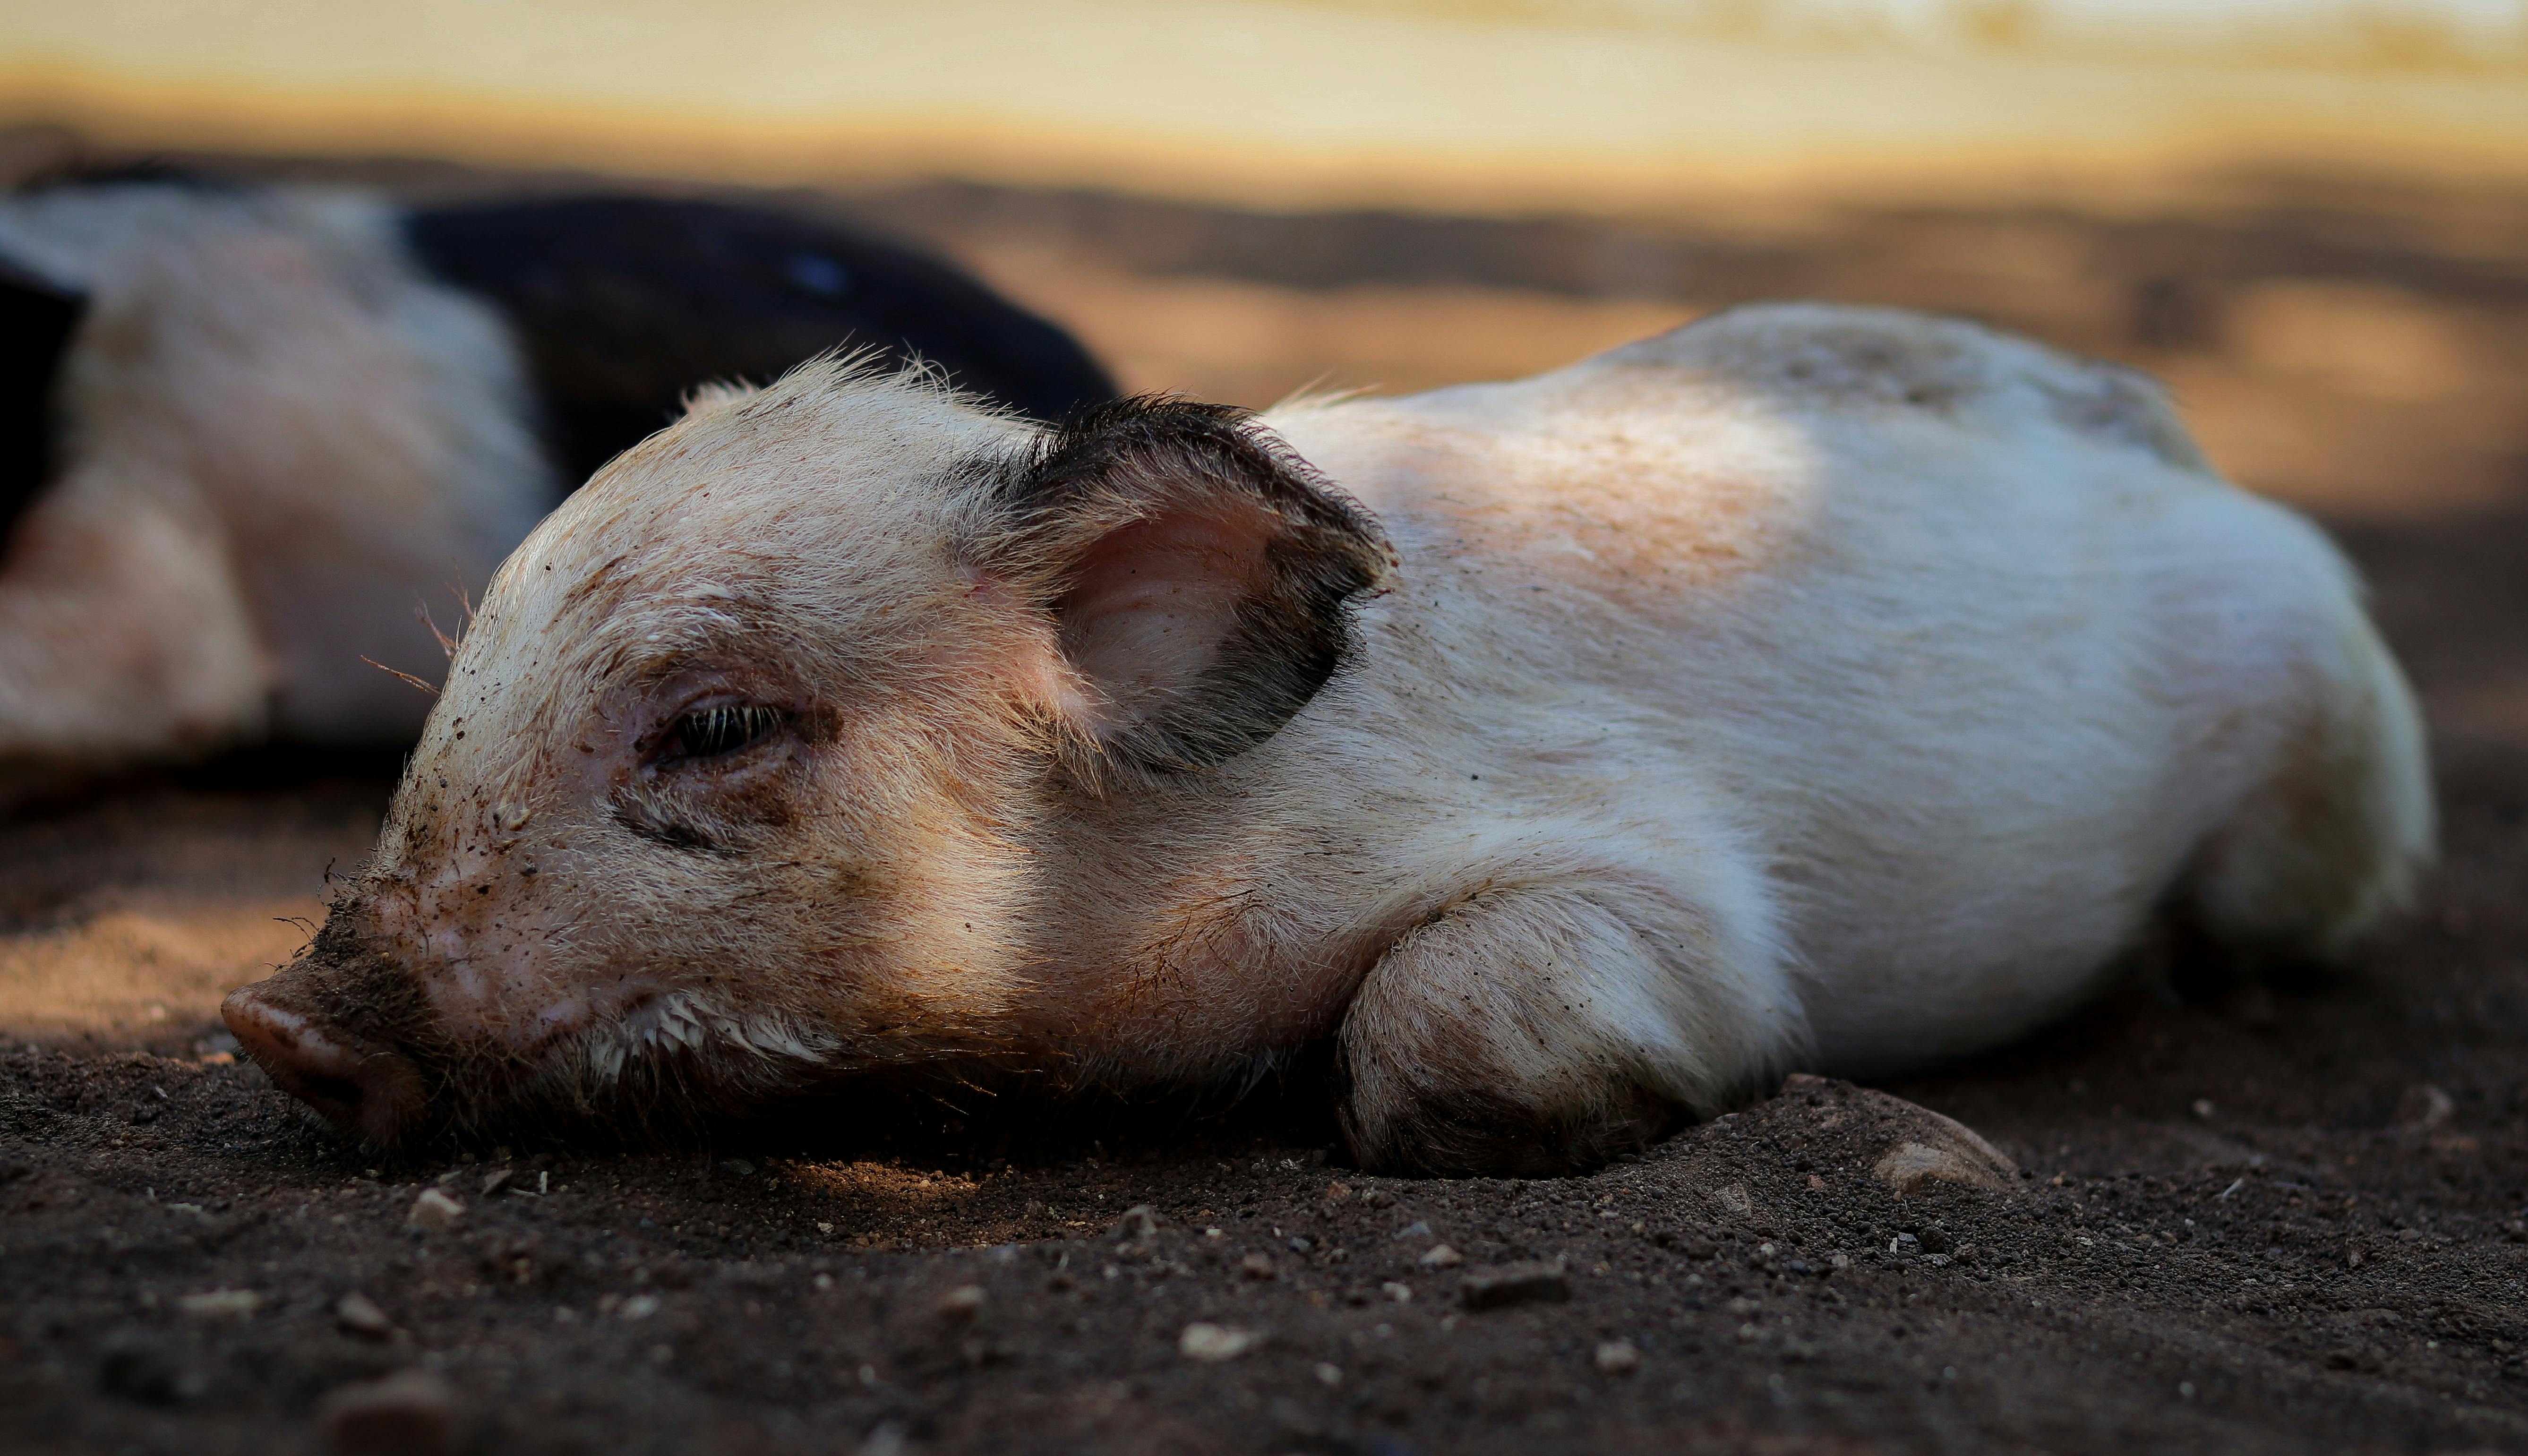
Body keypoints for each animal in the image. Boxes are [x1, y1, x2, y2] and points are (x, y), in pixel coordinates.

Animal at [222, 303, 2434, 1175]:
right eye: (467, 675)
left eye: (717, 724)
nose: (269, 1019)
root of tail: (2165, 429)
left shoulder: (1661, 886)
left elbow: (1478, 1020)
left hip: (2331, 774)